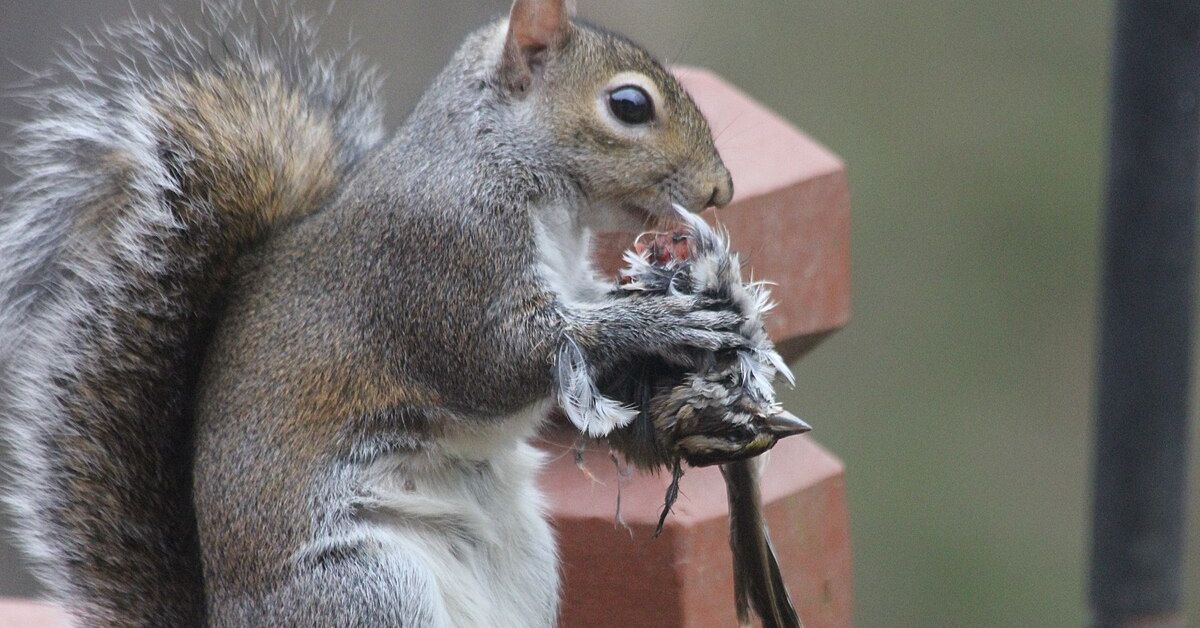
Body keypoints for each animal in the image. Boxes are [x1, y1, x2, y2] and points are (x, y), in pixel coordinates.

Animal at [0, 0, 739, 625]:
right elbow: (497, 362)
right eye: (628, 105)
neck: (507, 164)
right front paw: (656, 323)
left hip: (520, 569)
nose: (720, 190)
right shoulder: (442, 258)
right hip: (368, 587)